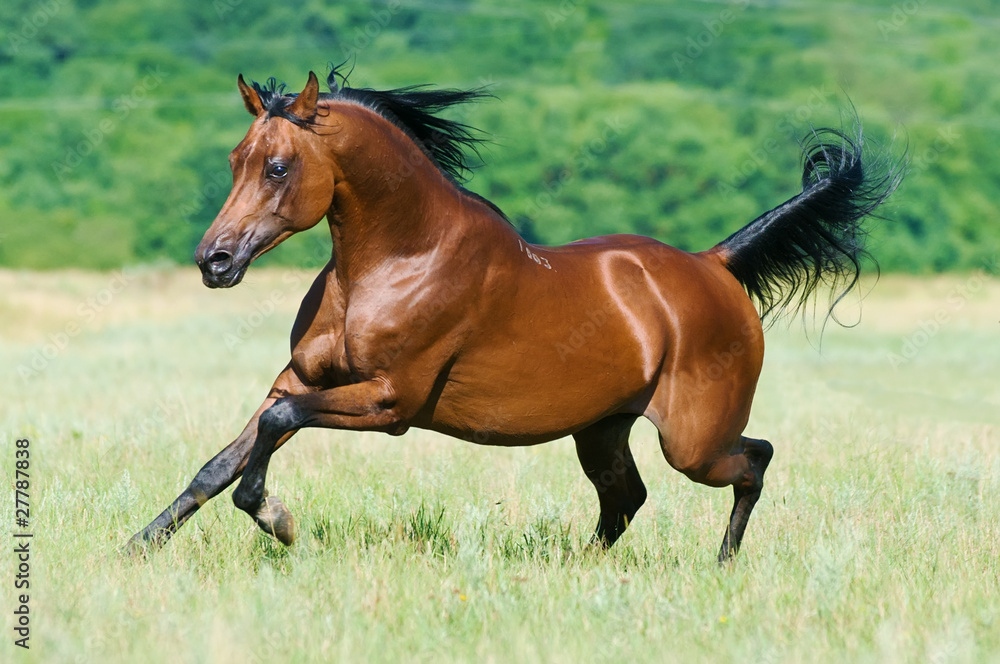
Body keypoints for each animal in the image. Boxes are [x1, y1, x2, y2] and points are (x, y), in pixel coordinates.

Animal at [126, 67, 901, 561]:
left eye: (279, 166)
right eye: (237, 158)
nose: (214, 261)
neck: (397, 258)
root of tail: (715, 265)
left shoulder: (388, 402)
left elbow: (270, 436)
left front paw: (277, 520)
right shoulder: (299, 379)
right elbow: (221, 462)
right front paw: (137, 546)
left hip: (693, 440)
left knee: (753, 461)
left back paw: (724, 563)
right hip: (602, 430)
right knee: (627, 499)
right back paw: (579, 569)